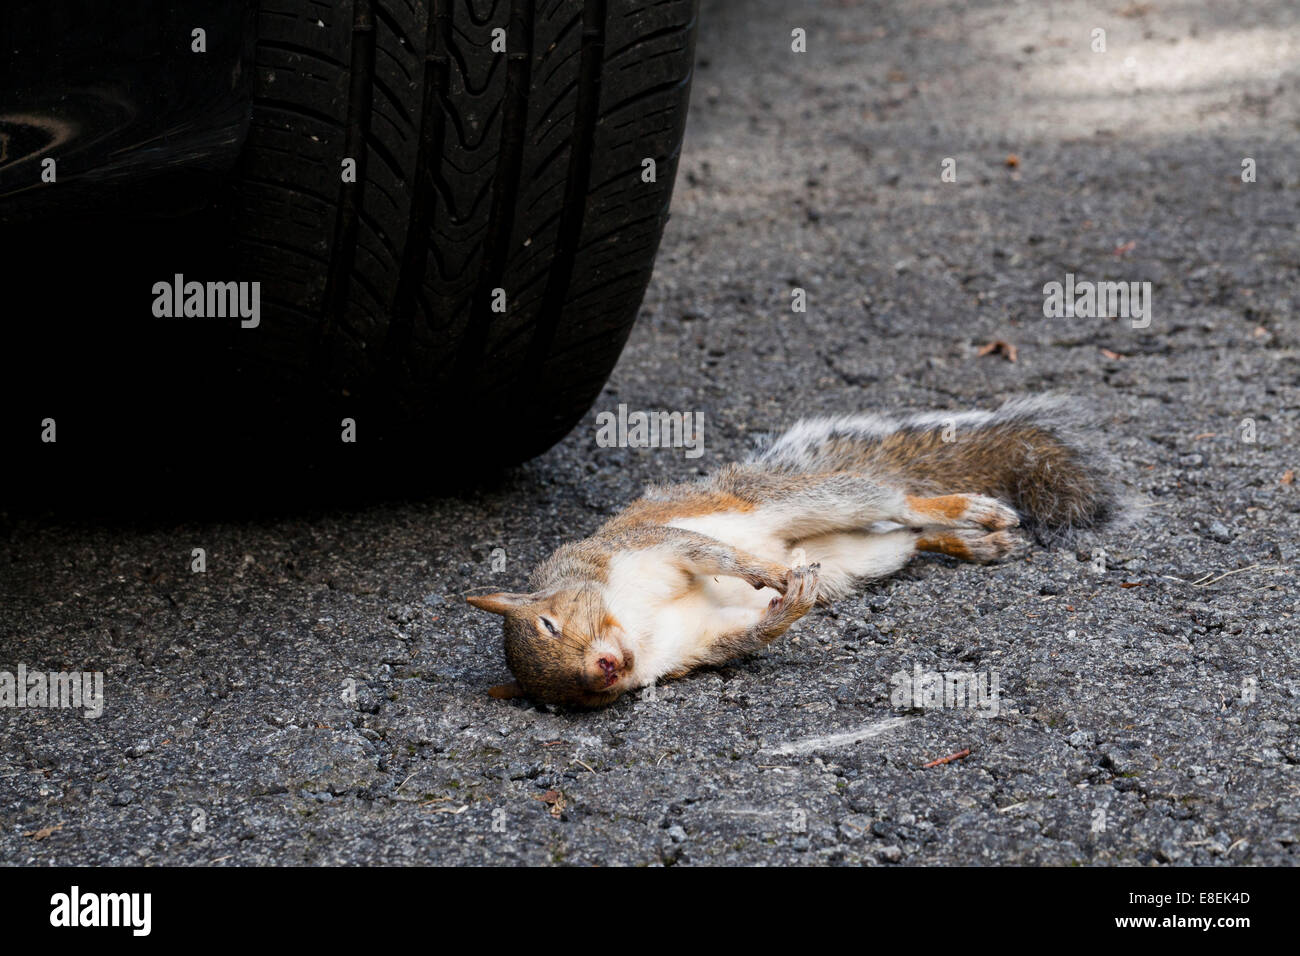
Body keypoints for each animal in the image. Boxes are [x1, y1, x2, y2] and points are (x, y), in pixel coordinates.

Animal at [467, 396, 1118, 708]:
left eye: (549, 623)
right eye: (570, 697)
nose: (604, 671)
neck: (634, 622)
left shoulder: (657, 545)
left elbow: (721, 560)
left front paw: (771, 574)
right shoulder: (695, 646)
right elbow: (747, 634)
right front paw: (789, 603)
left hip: (812, 501)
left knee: (903, 503)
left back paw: (974, 513)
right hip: (857, 554)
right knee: (905, 536)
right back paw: (973, 541)